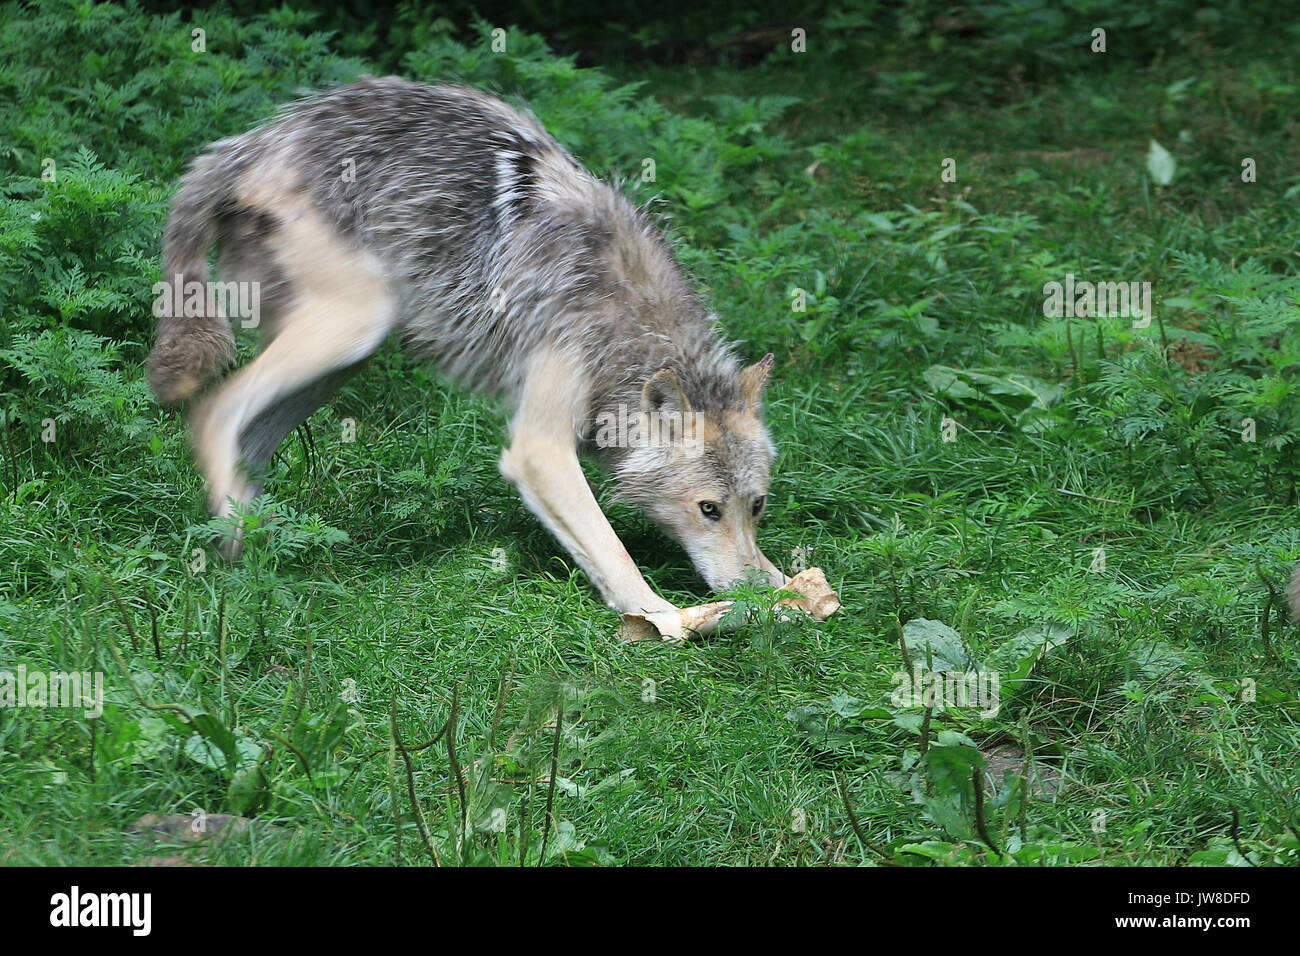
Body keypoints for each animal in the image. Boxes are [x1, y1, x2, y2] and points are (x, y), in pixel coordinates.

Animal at [146, 77, 788, 620]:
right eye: (708, 509)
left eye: (756, 506)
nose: (750, 591)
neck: (626, 311)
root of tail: (250, 142)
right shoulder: (539, 449)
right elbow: (614, 553)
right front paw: (663, 617)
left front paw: (784, 591)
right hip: (354, 327)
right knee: (213, 411)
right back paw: (235, 557)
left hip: (343, 357)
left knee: (245, 436)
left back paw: (262, 545)